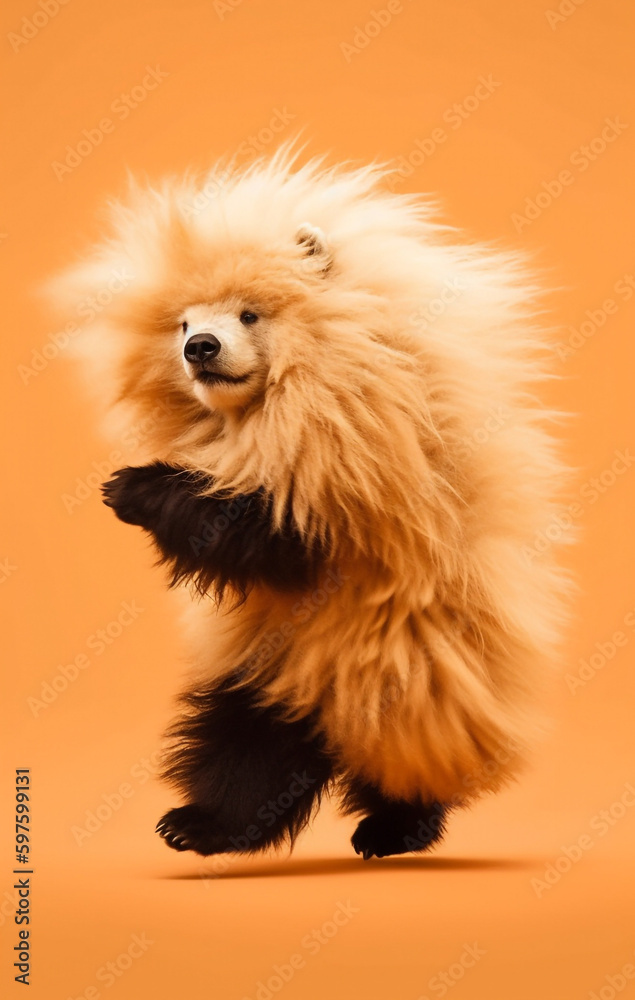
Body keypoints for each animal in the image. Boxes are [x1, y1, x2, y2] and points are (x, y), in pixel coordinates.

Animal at [52, 146, 574, 860]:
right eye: (184, 321)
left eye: (248, 314)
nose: (199, 347)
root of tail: (330, 708)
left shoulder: (361, 475)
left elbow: (268, 530)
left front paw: (133, 487)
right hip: (273, 664)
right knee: (250, 743)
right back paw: (202, 824)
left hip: (413, 671)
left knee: (407, 752)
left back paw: (395, 825)